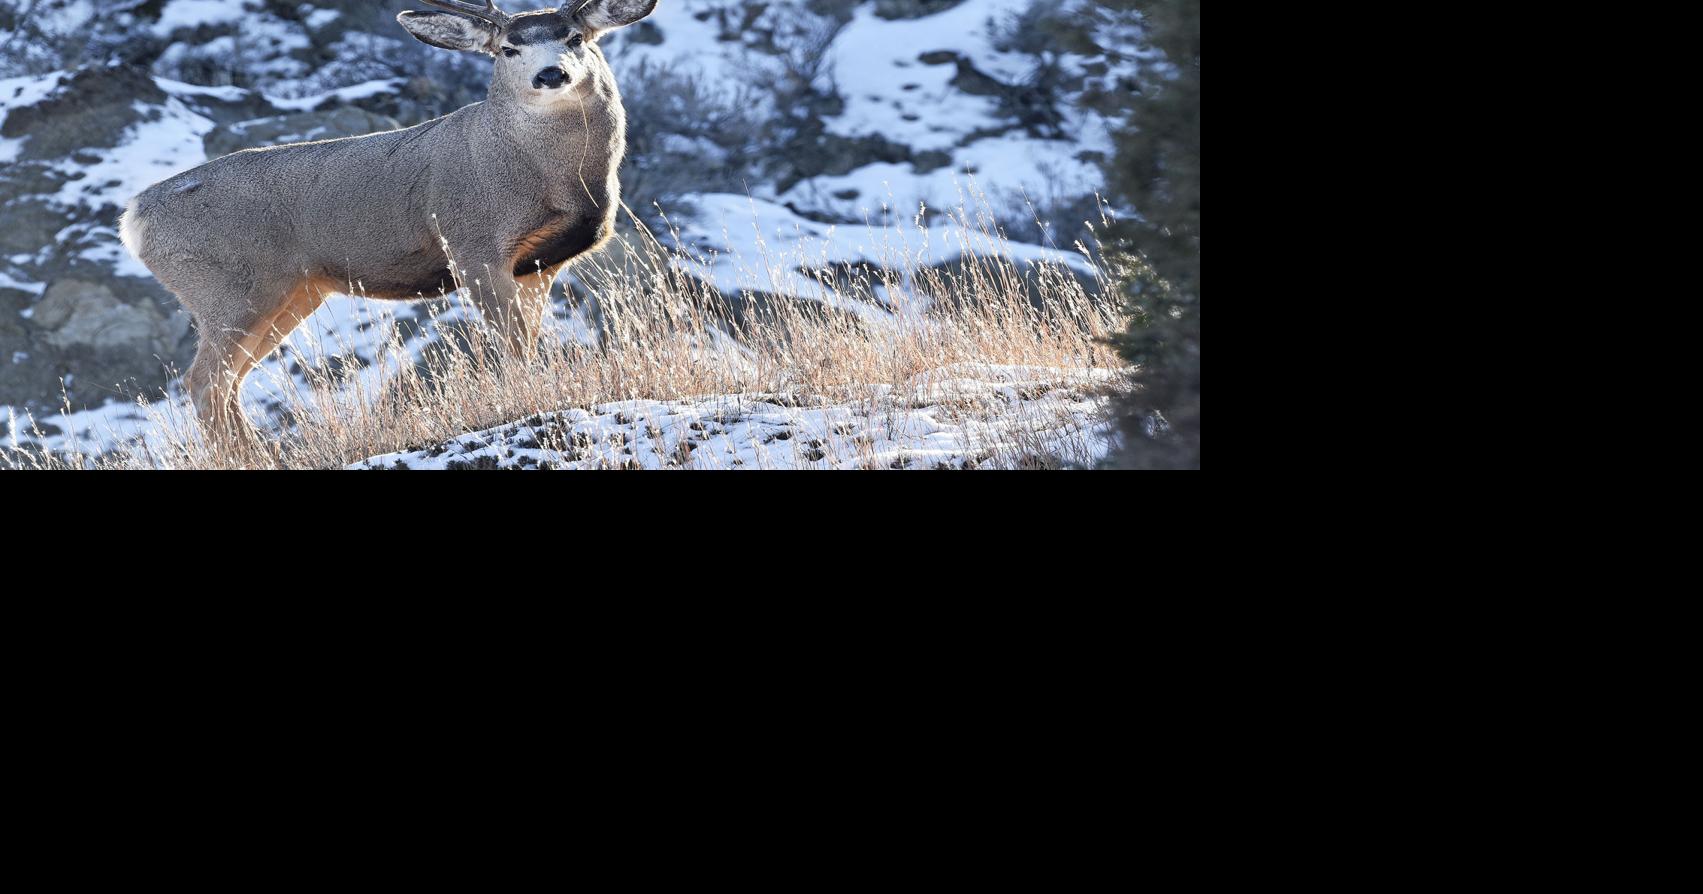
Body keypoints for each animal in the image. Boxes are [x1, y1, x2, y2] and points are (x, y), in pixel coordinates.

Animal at [118, 0, 658, 450]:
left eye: (575, 37)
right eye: (508, 47)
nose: (551, 73)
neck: (551, 179)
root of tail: (135, 217)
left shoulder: (539, 264)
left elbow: (528, 342)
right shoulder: (472, 245)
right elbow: (511, 346)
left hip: (292, 292)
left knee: (227, 381)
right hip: (229, 288)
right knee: (203, 381)